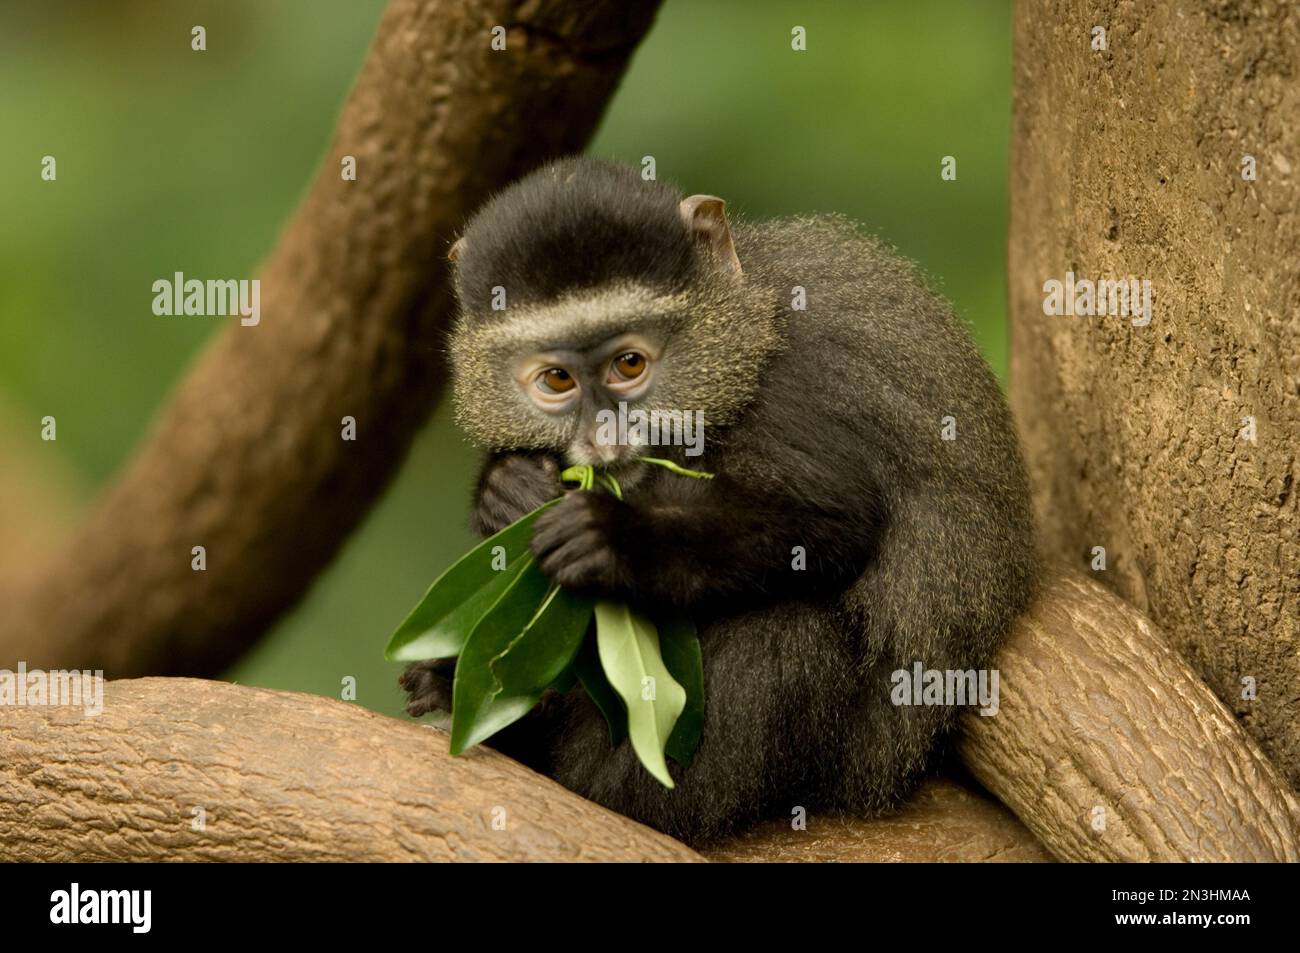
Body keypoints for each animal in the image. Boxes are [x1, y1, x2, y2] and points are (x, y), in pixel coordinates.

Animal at [399, 157, 1036, 847]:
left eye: (630, 363)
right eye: (558, 379)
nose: (604, 439)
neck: (747, 331)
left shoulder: (799, 385)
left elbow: (831, 524)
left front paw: (618, 541)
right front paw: (506, 488)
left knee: (787, 632)